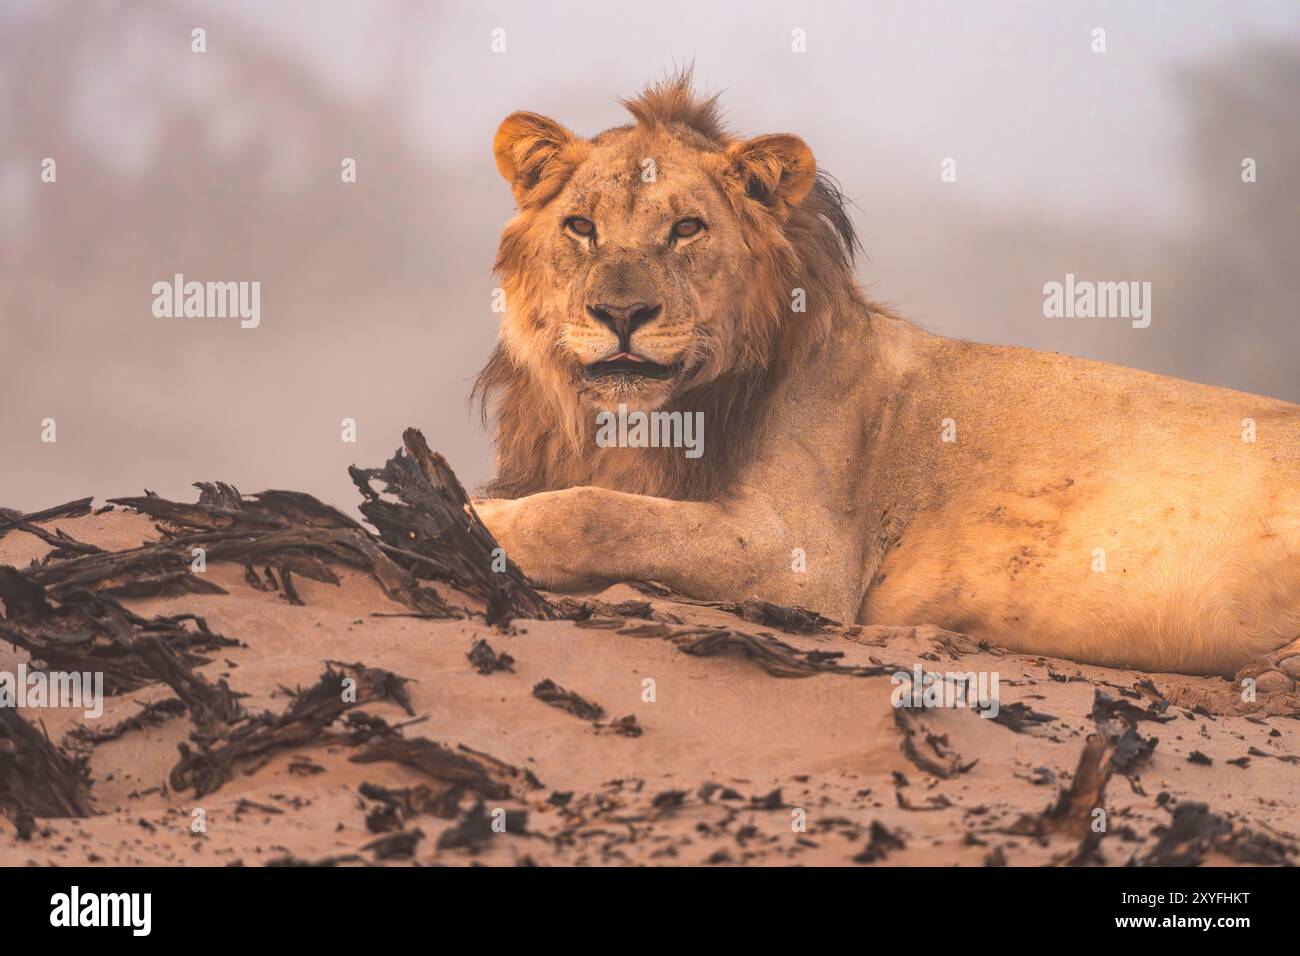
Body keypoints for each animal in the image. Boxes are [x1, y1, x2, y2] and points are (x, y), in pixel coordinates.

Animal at [472, 72, 1300, 690]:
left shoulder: (802, 554)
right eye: (581, 227)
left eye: (686, 229)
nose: (620, 313)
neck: (632, 422)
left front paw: (483, 521)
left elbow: (591, 513)